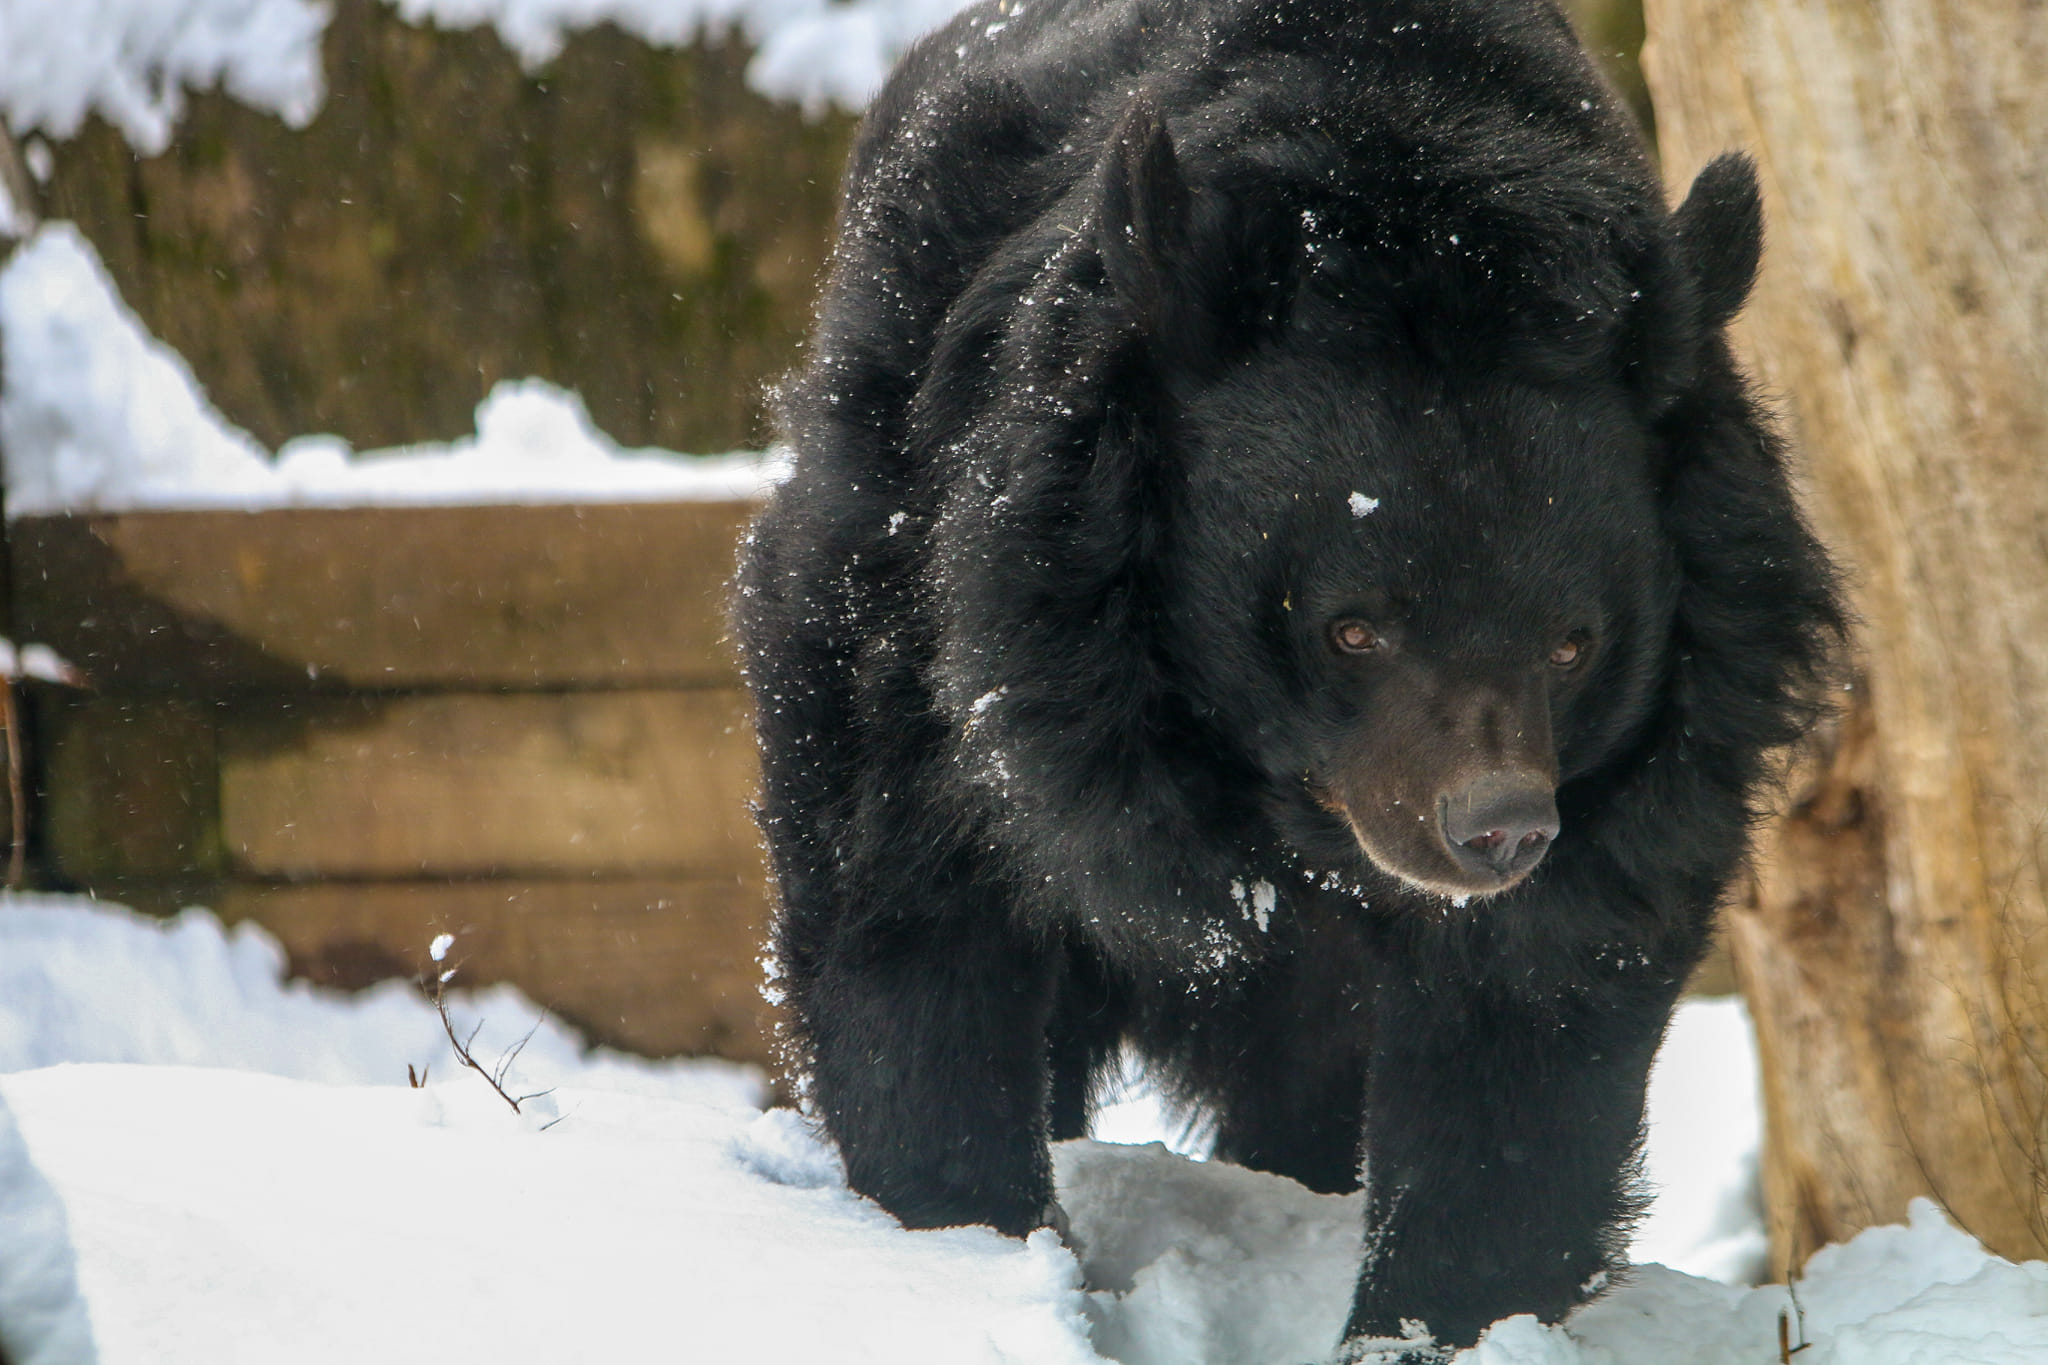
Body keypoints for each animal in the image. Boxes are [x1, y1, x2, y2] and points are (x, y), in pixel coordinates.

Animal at [735, 0, 1840, 1356]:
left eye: (1571, 644)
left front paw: (1429, 1318)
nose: (1495, 833)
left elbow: (1523, 1033)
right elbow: (910, 924)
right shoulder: (931, 584)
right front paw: (959, 1249)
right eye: (1350, 631)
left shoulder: (1671, 741)